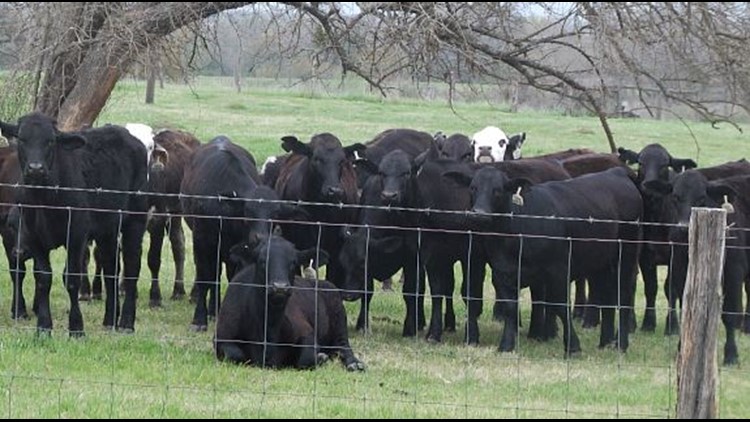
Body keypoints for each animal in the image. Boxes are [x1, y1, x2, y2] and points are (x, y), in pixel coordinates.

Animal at [0, 112, 149, 335]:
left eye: (50, 141)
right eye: (22, 139)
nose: (36, 169)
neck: (45, 200)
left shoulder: (77, 234)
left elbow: (71, 278)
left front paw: (77, 328)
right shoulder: (33, 237)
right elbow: (43, 278)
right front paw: (43, 327)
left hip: (135, 220)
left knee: (132, 266)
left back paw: (126, 322)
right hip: (108, 229)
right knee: (111, 268)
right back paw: (110, 319)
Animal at [214, 235, 365, 371]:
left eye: (293, 262)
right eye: (262, 261)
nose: (280, 287)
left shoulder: (306, 332)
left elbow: (306, 359)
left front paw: (320, 357)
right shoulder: (222, 337)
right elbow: (235, 355)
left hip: (339, 317)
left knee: (343, 345)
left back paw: (354, 364)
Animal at [444, 166, 642, 355]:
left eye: (498, 190)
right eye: (473, 188)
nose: (479, 214)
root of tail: (615, 172)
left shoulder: (558, 271)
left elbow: (561, 307)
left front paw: (572, 347)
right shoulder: (502, 272)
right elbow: (510, 308)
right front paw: (506, 346)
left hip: (626, 256)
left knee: (624, 297)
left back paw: (621, 345)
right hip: (600, 263)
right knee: (607, 297)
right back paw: (605, 342)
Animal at [647, 171, 749, 365]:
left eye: (702, 198)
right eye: (675, 196)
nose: (683, 228)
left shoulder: (734, 272)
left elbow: (730, 313)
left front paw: (731, 354)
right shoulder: (679, 271)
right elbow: (685, 310)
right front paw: (681, 349)